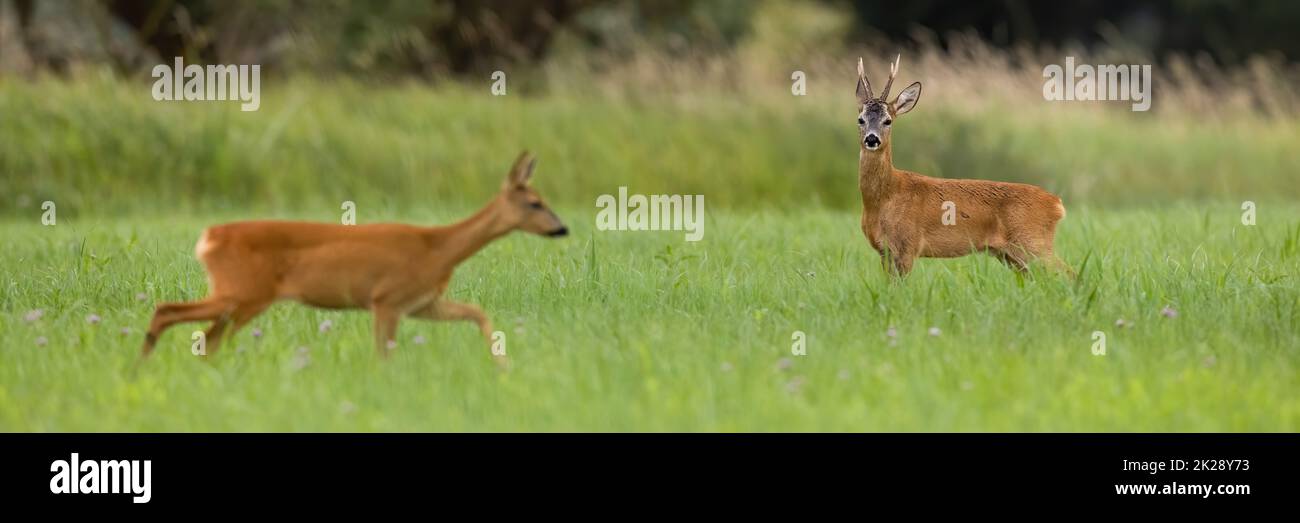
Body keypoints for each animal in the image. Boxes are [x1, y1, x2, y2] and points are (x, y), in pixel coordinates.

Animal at [138, 151, 566, 367]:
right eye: (535, 203)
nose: (562, 228)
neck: (438, 248)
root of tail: (209, 238)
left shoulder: (421, 302)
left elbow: (478, 313)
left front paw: (502, 365)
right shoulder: (387, 299)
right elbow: (384, 355)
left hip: (239, 296)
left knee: (205, 338)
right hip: (243, 292)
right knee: (170, 312)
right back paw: (140, 368)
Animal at [854, 55, 1070, 277]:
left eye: (888, 121)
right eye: (860, 119)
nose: (872, 139)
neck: (885, 197)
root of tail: (1056, 204)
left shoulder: (908, 245)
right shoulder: (884, 251)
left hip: (1033, 242)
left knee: (1068, 273)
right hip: (1012, 255)